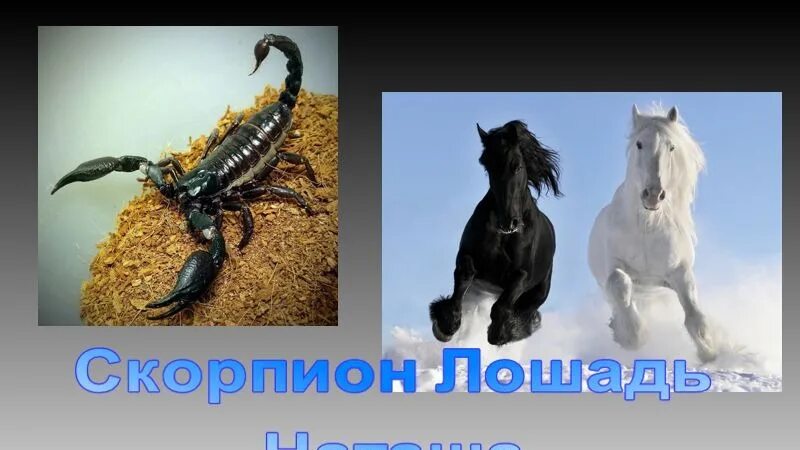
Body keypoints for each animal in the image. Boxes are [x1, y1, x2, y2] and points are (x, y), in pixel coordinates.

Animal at [429, 120, 562, 346]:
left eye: (517, 166)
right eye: (488, 167)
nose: (508, 221)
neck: (505, 236)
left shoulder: (521, 275)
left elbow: (502, 305)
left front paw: (499, 333)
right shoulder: (468, 256)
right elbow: (463, 278)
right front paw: (446, 325)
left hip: (538, 292)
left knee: (525, 311)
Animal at [588, 104, 717, 363]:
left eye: (671, 146)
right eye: (639, 144)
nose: (653, 195)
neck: (647, 227)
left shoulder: (679, 272)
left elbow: (694, 315)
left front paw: (710, 352)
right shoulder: (614, 267)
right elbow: (619, 284)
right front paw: (634, 337)